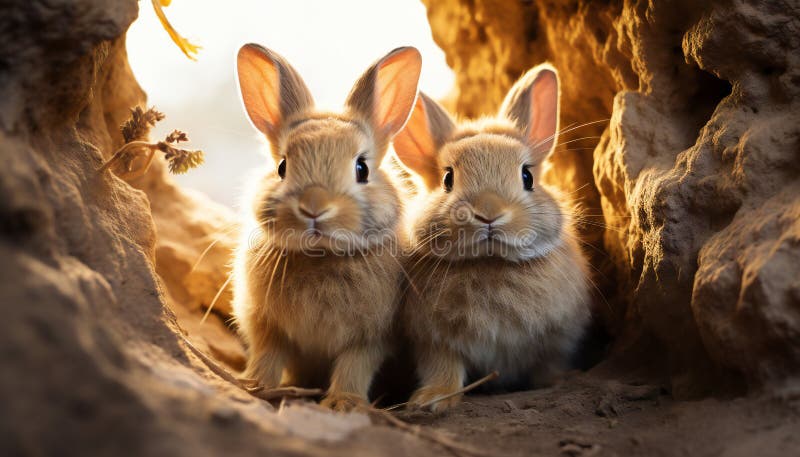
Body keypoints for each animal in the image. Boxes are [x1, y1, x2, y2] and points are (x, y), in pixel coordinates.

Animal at [231, 43, 422, 411]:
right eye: (282, 166)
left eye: (362, 168)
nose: (314, 207)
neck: (321, 256)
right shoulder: (267, 327)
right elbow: (267, 357)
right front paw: (255, 386)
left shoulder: (370, 337)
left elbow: (354, 366)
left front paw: (343, 403)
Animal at [392, 64, 591, 412]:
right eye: (448, 179)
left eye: (527, 176)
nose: (488, 213)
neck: (489, 262)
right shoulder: (433, 341)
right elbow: (443, 369)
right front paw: (431, 400)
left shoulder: (557, 340)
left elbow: (548, 366)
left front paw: (559, 381)